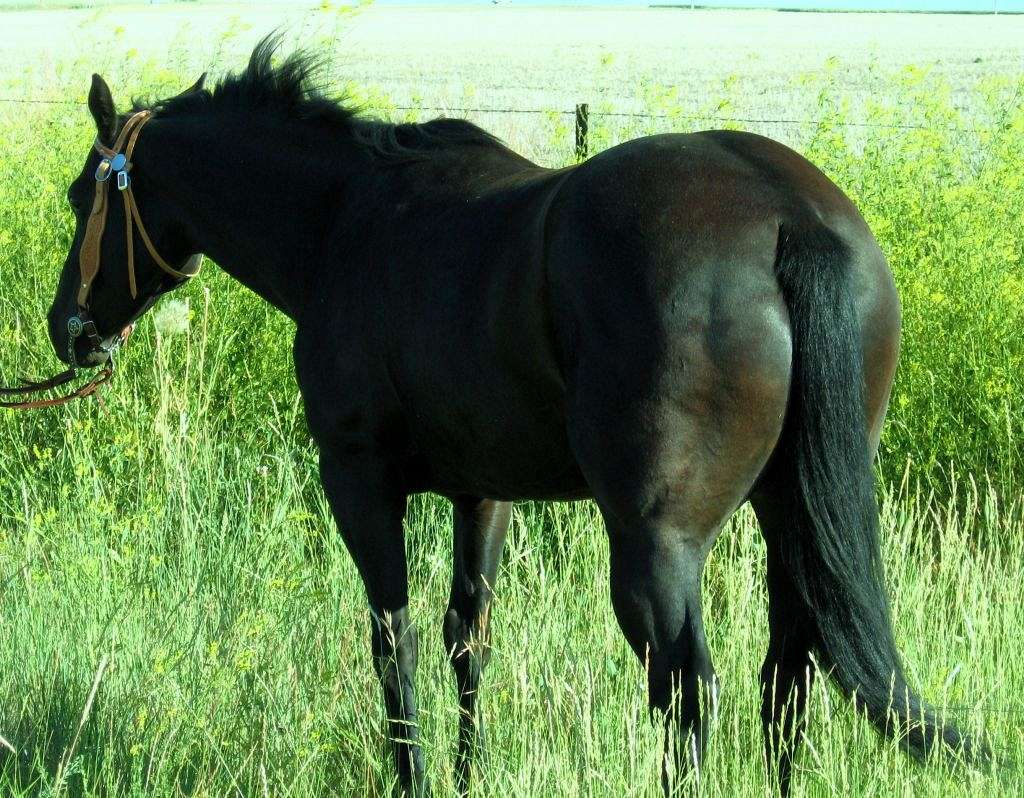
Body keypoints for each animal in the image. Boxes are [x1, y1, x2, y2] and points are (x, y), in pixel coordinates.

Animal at [39, 39, 979, 795]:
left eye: (83, 196)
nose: (68, 329)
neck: (347, 220)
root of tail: (788, 213)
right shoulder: (482, 493)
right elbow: (468, 638)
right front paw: (464, 773)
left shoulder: (358, 480)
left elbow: (394, 641)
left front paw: (415, 777)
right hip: (792, 518)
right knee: (786, 676)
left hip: (657, 546)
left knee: (685, 690)